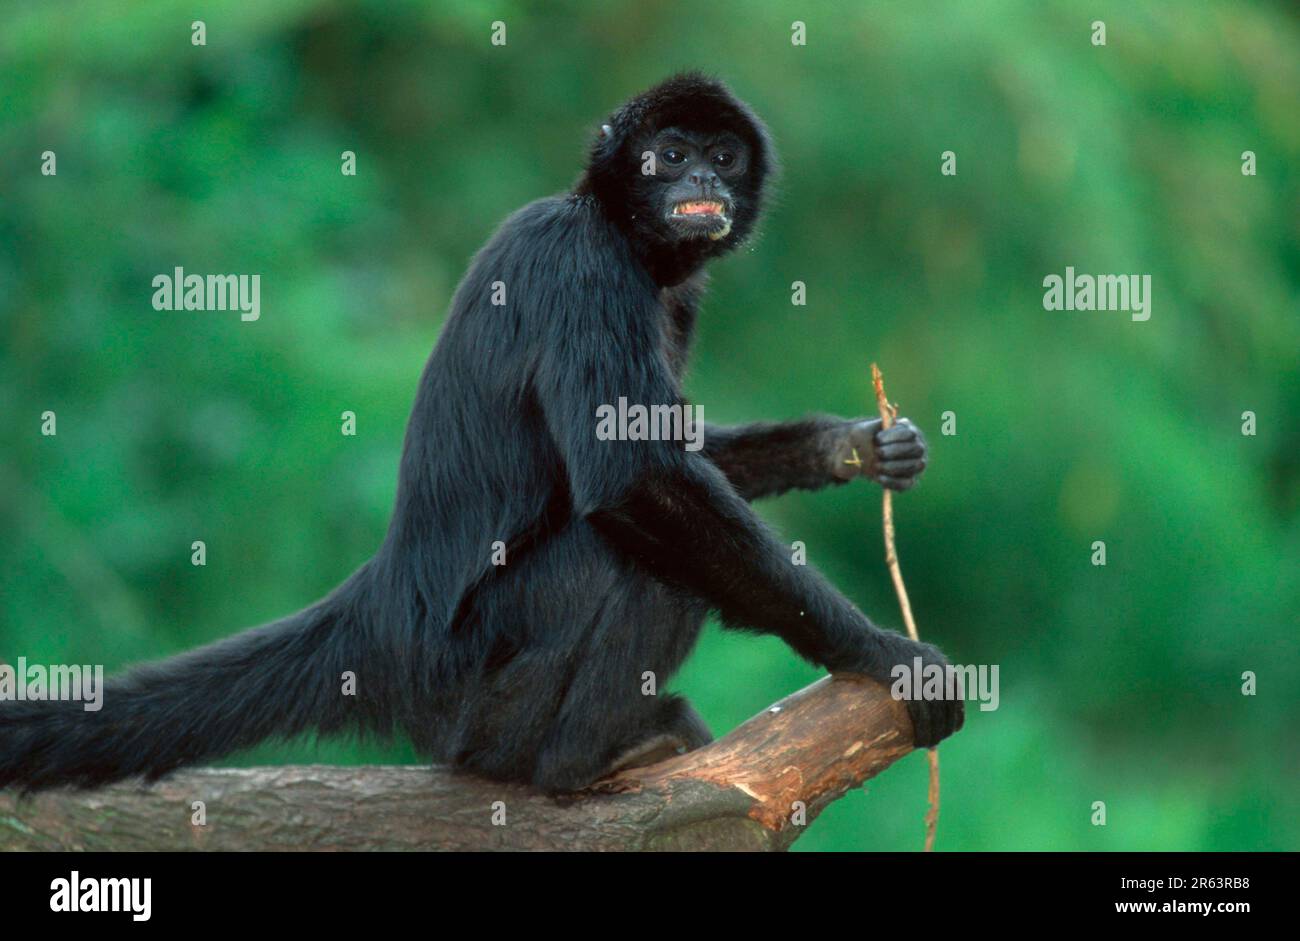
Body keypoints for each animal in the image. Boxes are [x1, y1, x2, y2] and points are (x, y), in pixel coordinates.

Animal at [0, 73, 962, 795]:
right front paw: (885, 654)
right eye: (670, 154)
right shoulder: (583, 266)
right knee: (631, 555)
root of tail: (385, 599)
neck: (619, 230)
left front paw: (851, 445)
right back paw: (575, 759)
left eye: (723, 156)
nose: (703, 185)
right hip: (472, 684)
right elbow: (638, 476)